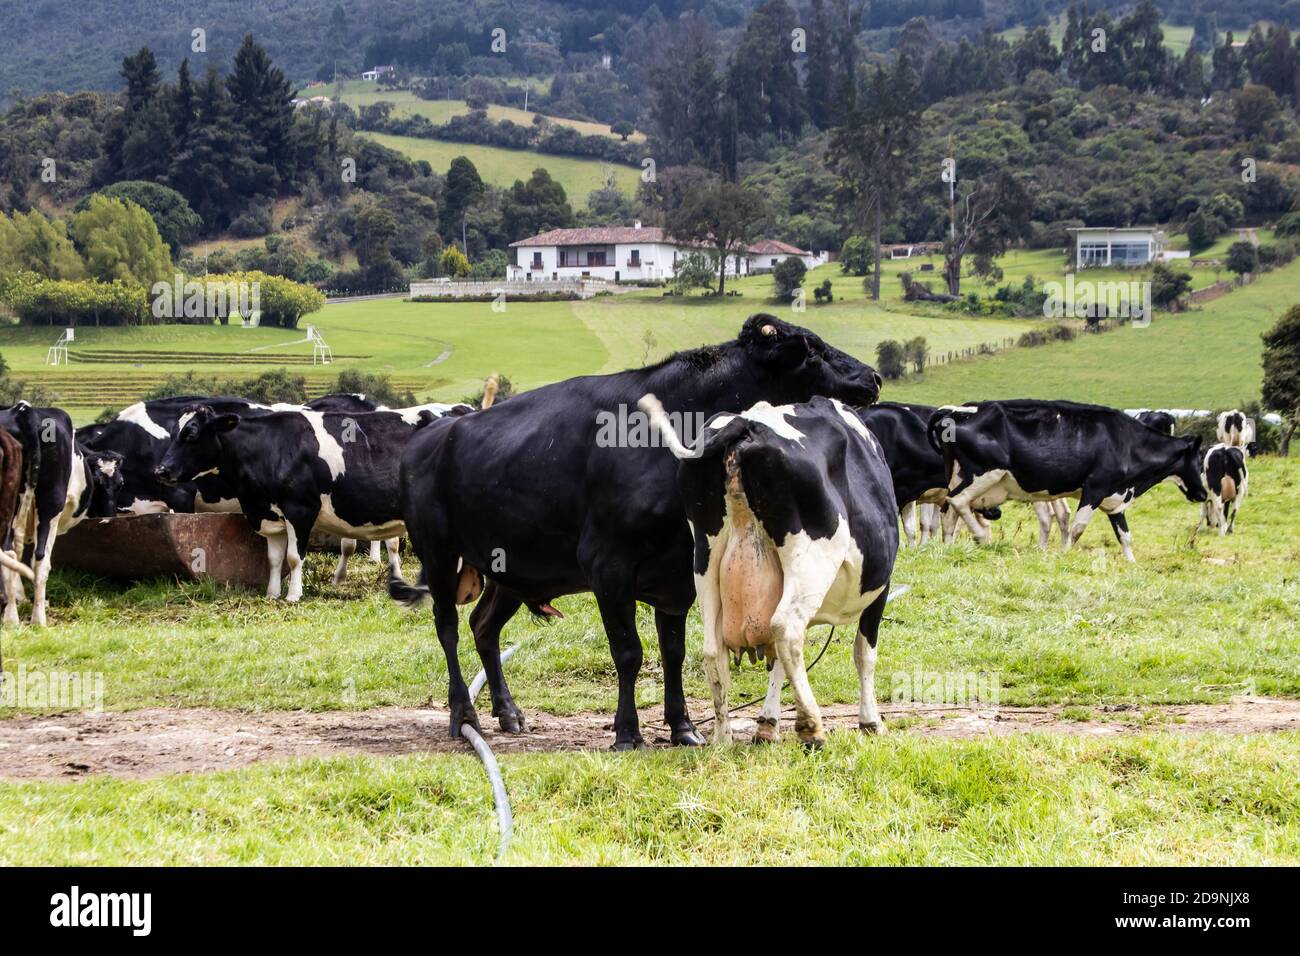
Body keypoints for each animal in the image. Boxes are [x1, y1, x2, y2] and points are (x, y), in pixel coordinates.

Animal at [0, 403, 124, 626]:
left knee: (9, 553)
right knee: (40, 560)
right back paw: (38, 620)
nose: (110, 515)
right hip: (50, 506)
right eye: (100, 484)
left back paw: (11, 618)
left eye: (120, 484)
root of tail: (23, 409)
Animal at [641, 394, 898, 748]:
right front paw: (871, 721)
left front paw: (767, 724)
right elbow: (864, 654)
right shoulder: (879, 590)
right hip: (811, 562)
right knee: (786, 628)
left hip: (706, 560)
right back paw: (811, 728)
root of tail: (746, 424)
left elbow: (776, 662)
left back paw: (722, 736)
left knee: (714, 649)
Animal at [929, 400, 1207, 562]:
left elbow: (1125, 535)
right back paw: (981, 538)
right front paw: (1063, 554)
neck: (1126, 442)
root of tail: (957, 411)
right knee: (959, 501)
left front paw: (1131, 564)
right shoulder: (1095, 488)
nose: (1203, 494)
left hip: (958, 474)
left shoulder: (1115, 498)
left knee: (948, 514)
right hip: (985, 472)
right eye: (1197, 461)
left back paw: (949, 548)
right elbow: (1077, 528)